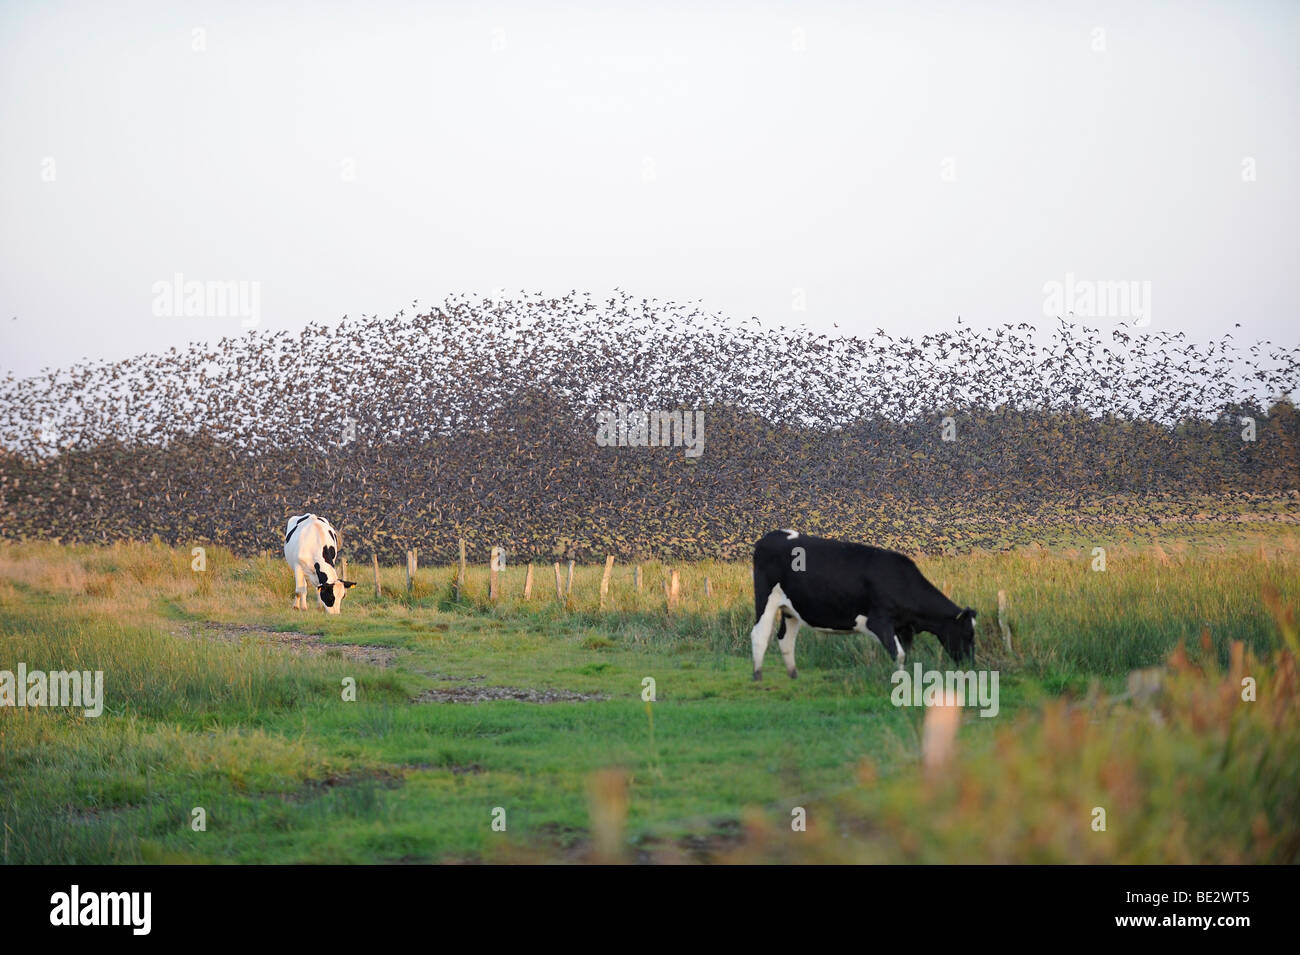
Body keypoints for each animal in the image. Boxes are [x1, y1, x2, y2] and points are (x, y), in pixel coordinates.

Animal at [750, 530, 976, 681]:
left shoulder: (904, 627)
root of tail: (770, 536)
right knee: (760, 634)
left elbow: (906, 654)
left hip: (791, 609)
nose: (971, 667)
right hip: (766, 599)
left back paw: (793, 676)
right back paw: (758, 676)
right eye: (967, 634)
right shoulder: (879, 621)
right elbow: (899, 654)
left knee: (786, 638)